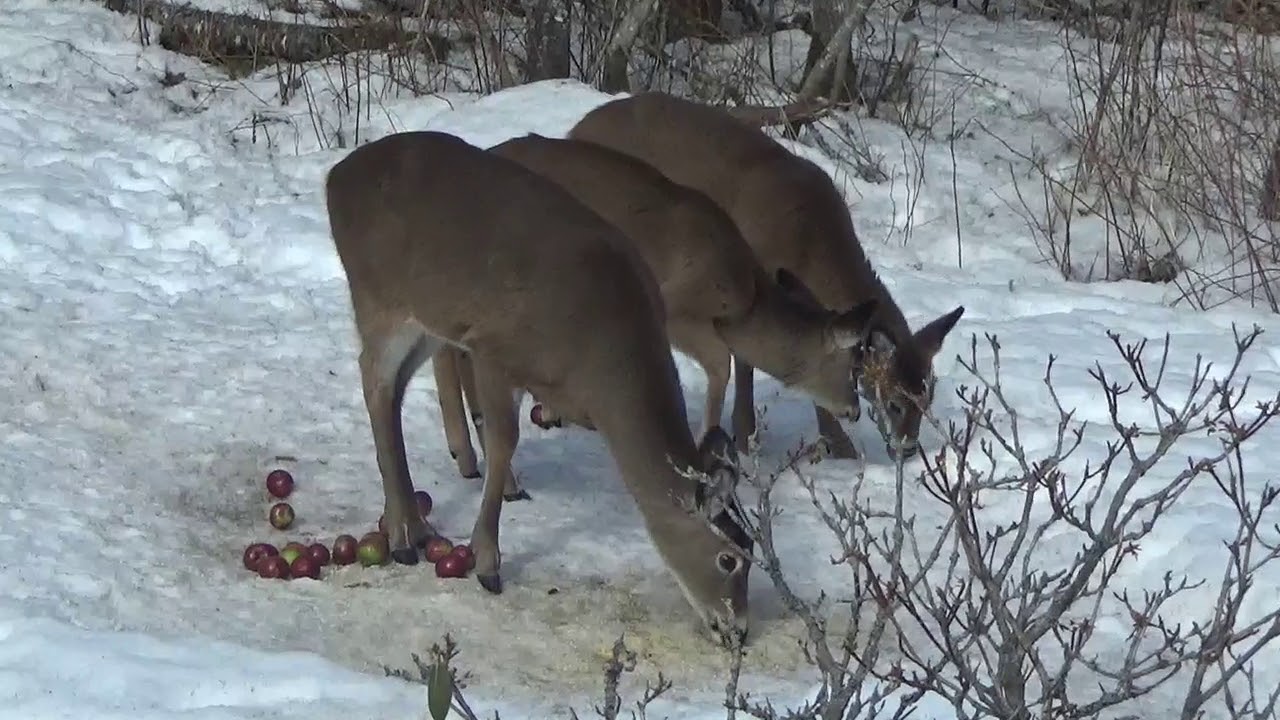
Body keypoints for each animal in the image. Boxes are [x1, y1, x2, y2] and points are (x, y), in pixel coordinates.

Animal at [323, 129, 754, 647]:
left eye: (752, 550)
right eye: (729, 559)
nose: (739, 631)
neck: (599, 360)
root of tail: (335, 178)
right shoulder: (493, 348)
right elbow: (503, 441)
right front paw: (487, 564)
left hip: (425, 318)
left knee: (395, 388)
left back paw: (406, 522)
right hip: (379, 297)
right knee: (376, 381)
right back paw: (407, 533)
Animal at [433, 133, 883, 500]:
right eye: (852, 362)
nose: (854, 410)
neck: (743, 296)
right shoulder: (676, 308)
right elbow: (721, 364)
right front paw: (705, 448)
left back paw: (466, 456)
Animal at [569, 92, 966, 461]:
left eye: (927, 399)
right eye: (895, 401)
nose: (908, 449)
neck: (809, 244)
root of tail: (578, 127)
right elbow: (751, 362)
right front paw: (751, 436)